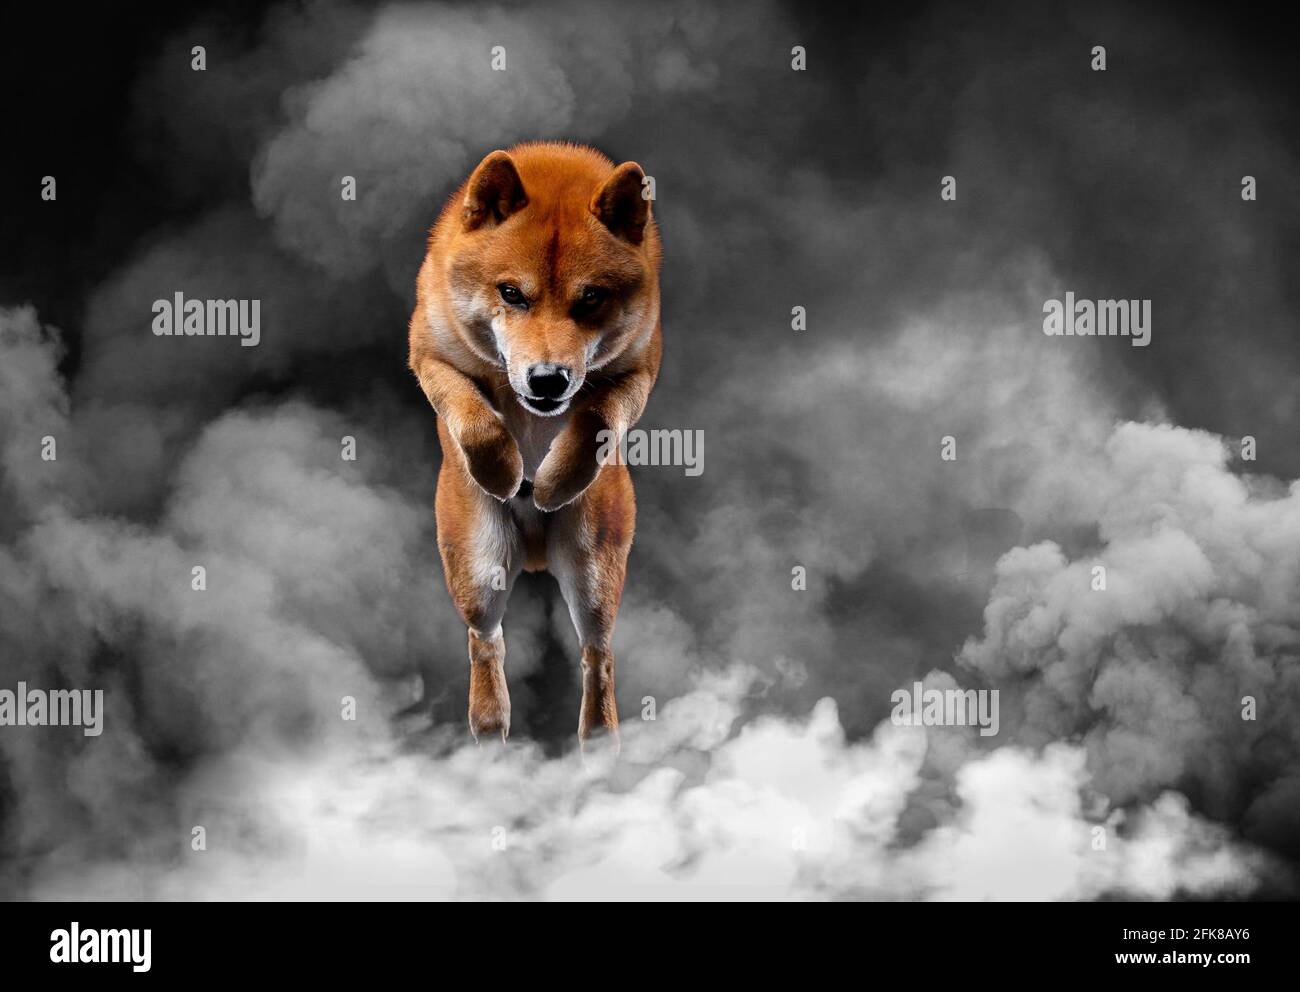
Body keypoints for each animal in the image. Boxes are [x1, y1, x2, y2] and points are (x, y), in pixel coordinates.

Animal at [408, 142, 662, 749]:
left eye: (590, 298)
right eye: (510, 294)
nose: (548, 380)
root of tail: (539, 556)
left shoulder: (637, 372)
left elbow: (596, 418)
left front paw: (549, 483)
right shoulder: (428, 356)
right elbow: (471, 413)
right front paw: (504, 472)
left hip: (594, 571)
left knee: (598, 654)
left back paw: (599, 740)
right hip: (478, 567)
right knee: (486, 641)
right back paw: (489, 725)